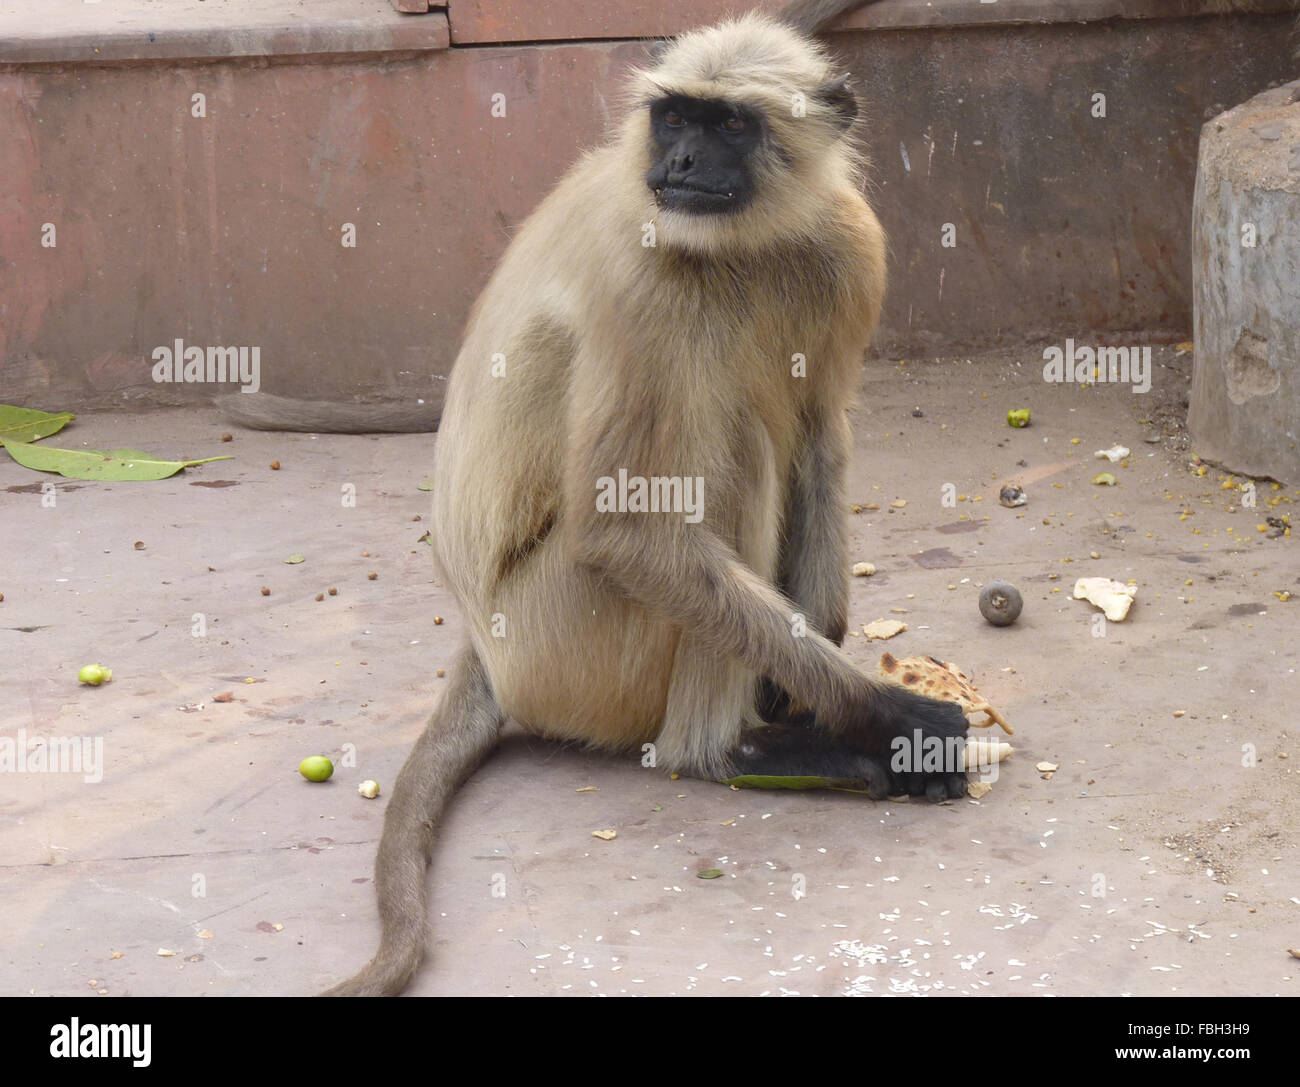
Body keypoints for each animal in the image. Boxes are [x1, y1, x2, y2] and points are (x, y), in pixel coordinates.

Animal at [319, 0, 971, 998]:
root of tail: (484, 643)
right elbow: (626, 527)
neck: (745, 243)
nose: (685, 163)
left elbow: (822, 428)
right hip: (565, 642)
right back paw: (724, 751)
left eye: (730, 125)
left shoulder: (849, 243)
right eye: (675, 119)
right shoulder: (645, 268)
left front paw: (818, 672)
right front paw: (881, 714)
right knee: (730, 456)